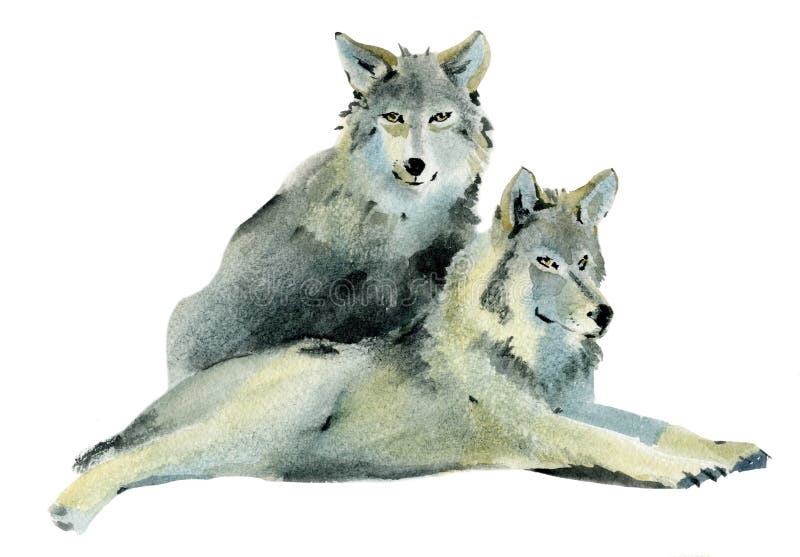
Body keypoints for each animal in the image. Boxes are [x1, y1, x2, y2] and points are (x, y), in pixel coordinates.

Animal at [51, 168, 766, 533]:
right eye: (546, 263)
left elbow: (660, 424)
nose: (605, 314)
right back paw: (70, 508)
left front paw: (728, 448)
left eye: (585, 263)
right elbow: (621, 443)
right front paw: (687, 470)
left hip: (253, 447)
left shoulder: (571, 409)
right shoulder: (543, 427)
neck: (533, 354)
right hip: (280, 409)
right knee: (139, 455)